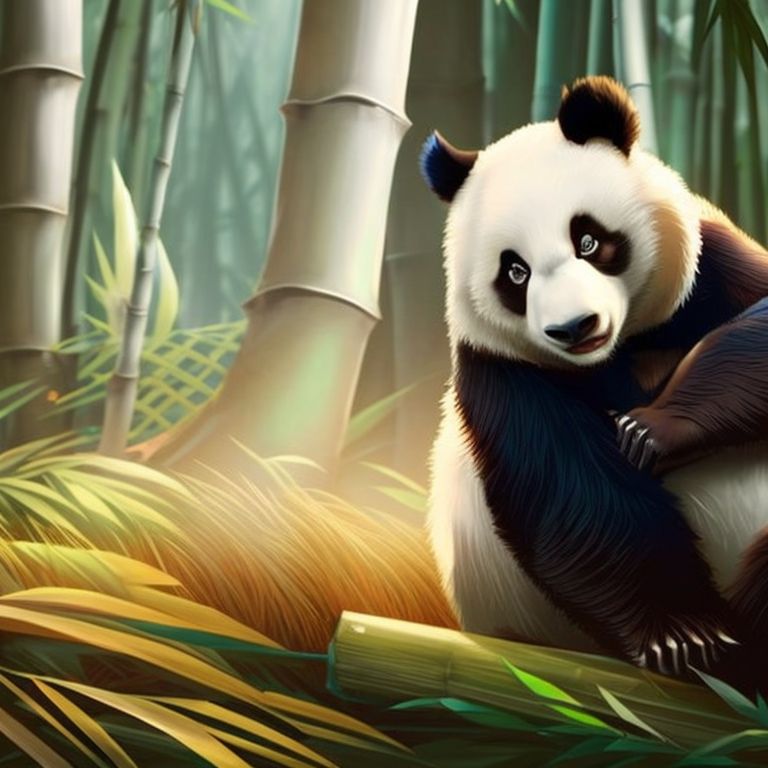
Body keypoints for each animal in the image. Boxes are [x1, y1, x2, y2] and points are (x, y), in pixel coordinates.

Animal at [422, 75, 768, 689]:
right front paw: (684, 637)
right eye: (515, 272)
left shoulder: (710, 268)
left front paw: (651, 430)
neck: (619, 350)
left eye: (588, 240)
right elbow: (575, 499)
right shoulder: (503, 374)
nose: (574, 327)